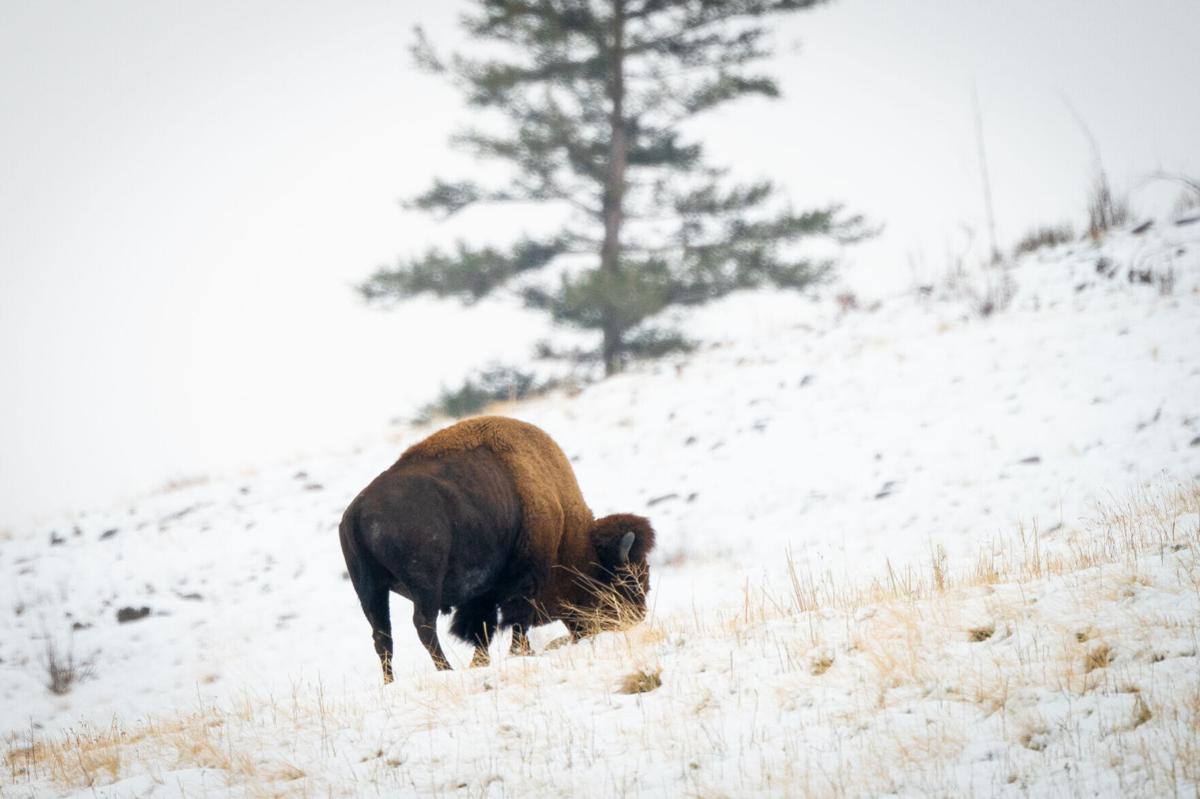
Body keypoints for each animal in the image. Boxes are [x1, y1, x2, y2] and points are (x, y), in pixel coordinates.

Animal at [339, 416, 655, 681]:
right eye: (625, 581)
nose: (635, 617)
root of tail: (359, 511)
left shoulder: (483, 591)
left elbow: (483, 628)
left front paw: (482, 662)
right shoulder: (523, 579)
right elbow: (514, 620)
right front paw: (520, 654)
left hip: (369, 588)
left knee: (383, 636)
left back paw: (390, 682)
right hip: (424, 586)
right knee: (423, 625)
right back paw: (446, 670)